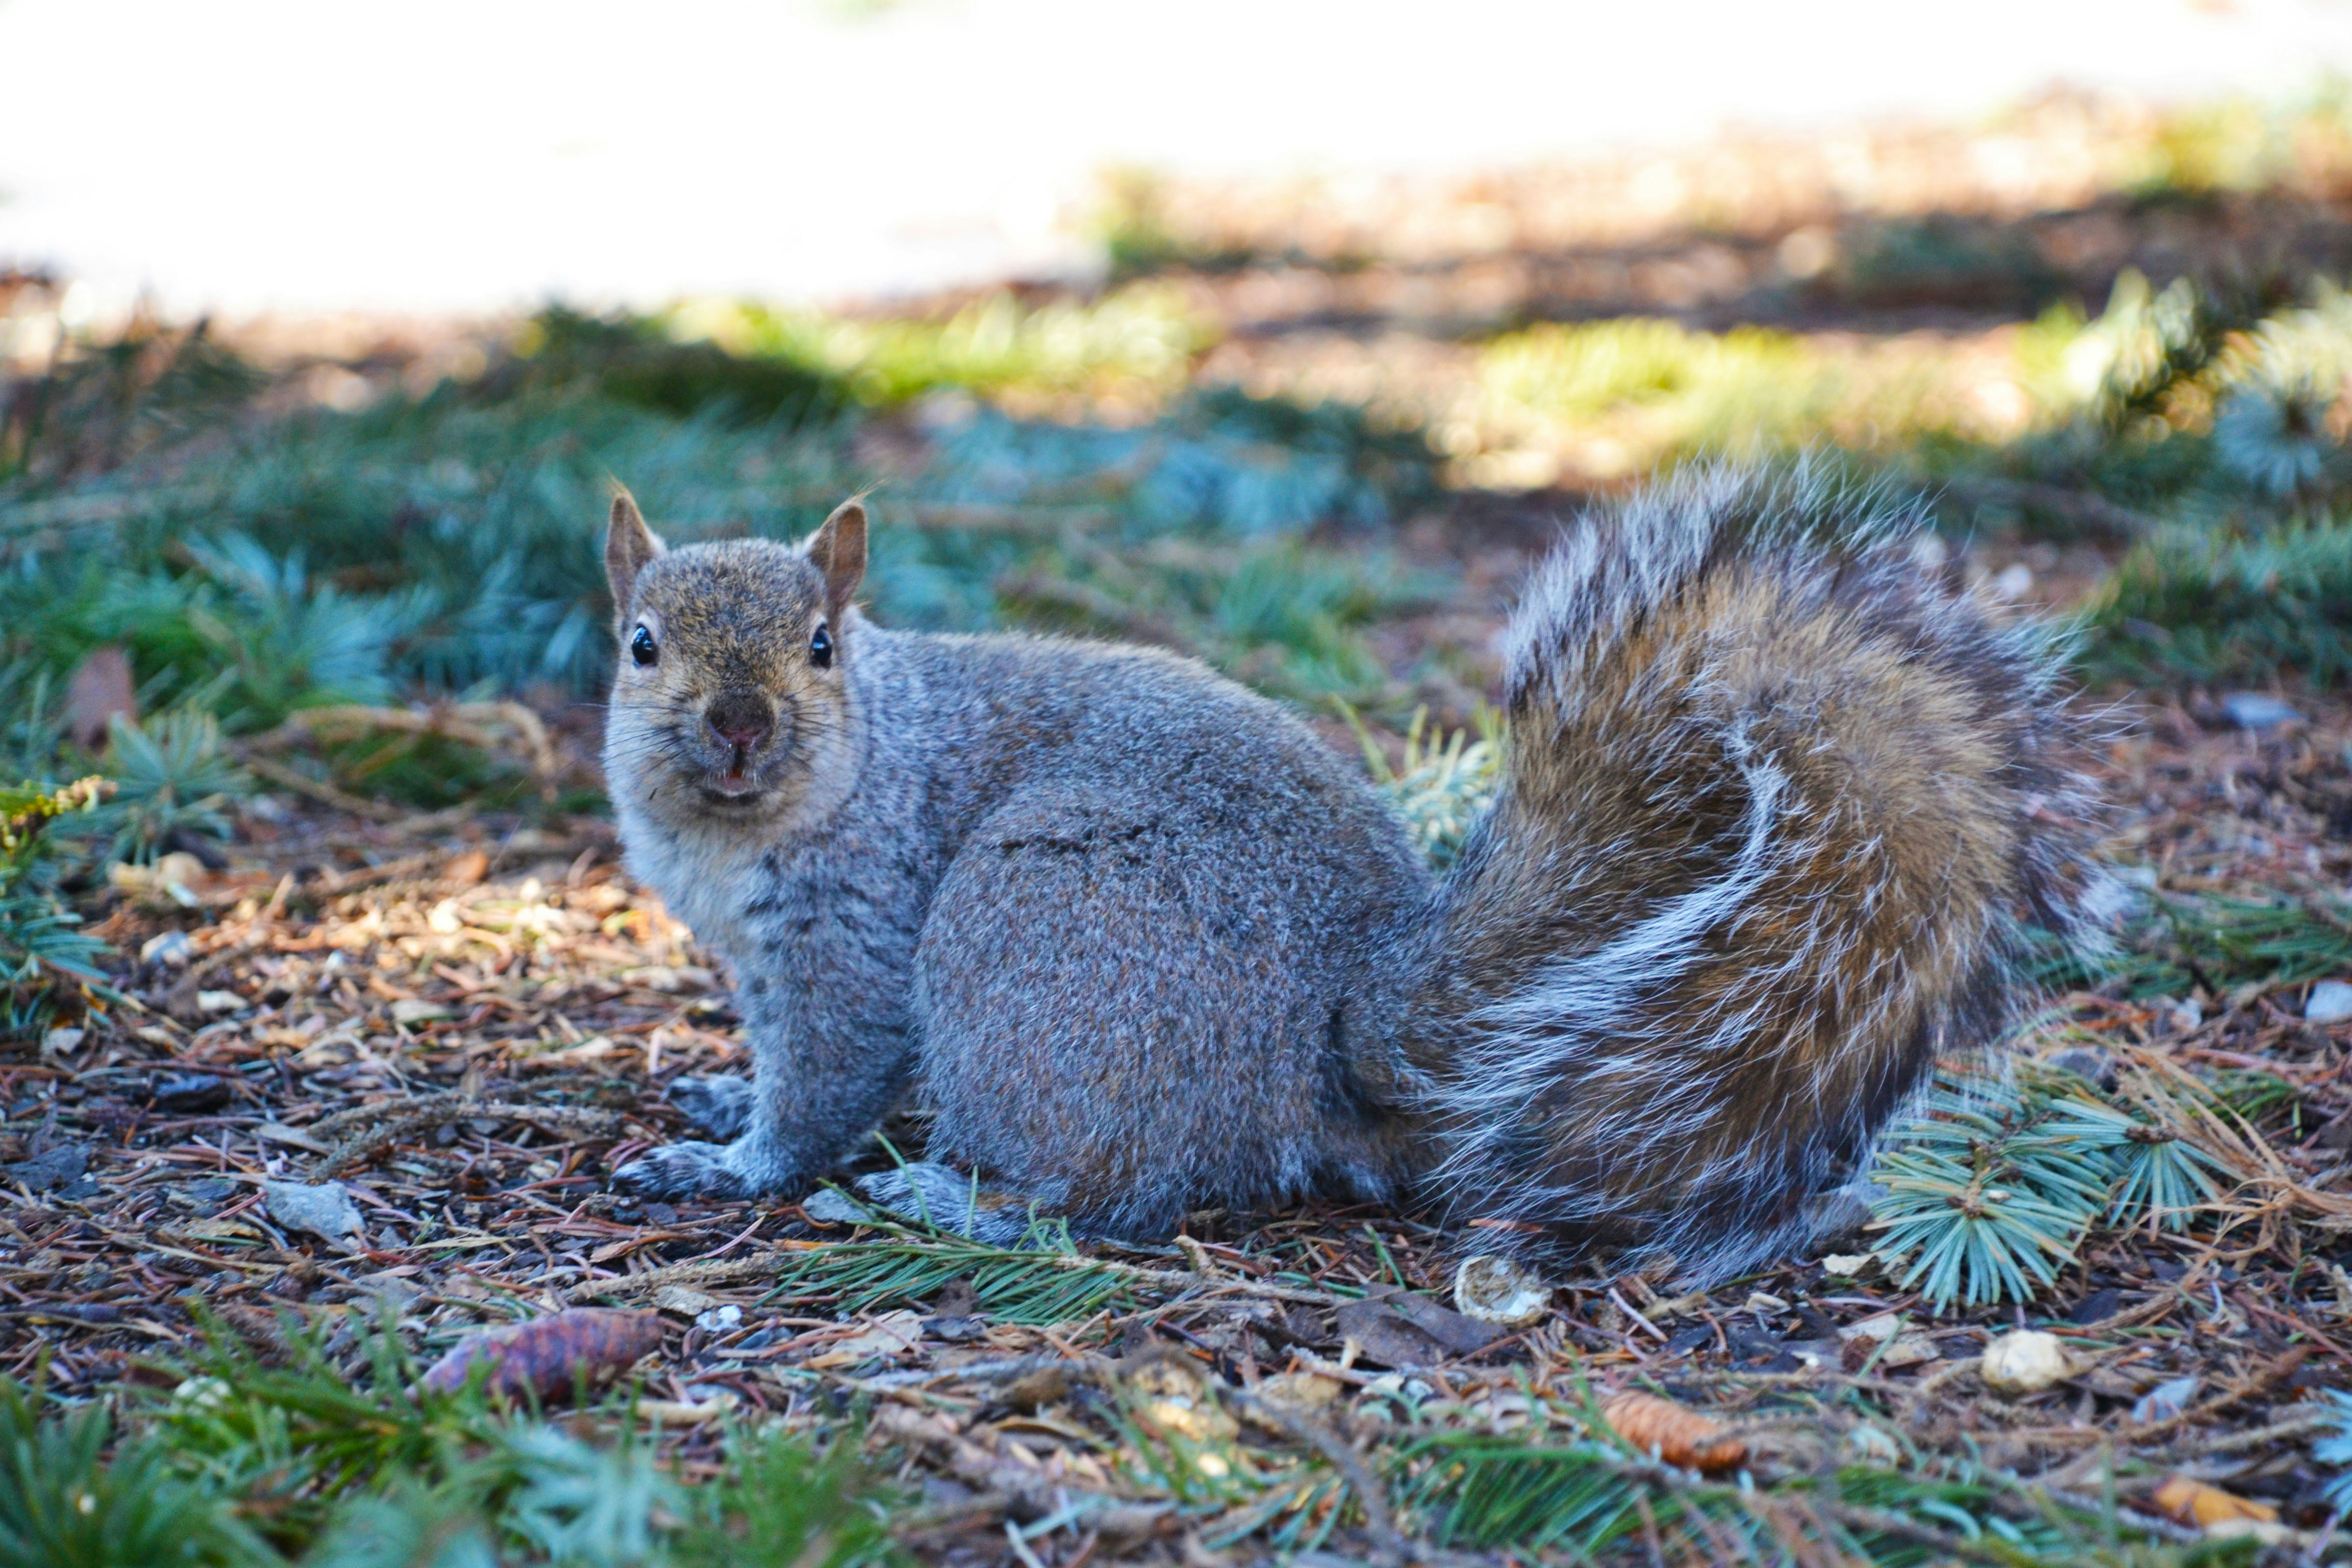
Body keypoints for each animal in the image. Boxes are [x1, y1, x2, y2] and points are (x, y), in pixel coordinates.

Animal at [601, 467, 2106, 1279]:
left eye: (820, 645)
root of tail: (1347, 1015)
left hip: (1037, 924)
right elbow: (776, 1058)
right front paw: (719, 1092)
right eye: (638, 643)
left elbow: (827, 1081)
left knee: (1115, 1195)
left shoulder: (851, 937)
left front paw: (728, 1164)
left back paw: (957, 1200)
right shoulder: (757, 957)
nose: (738, 726)